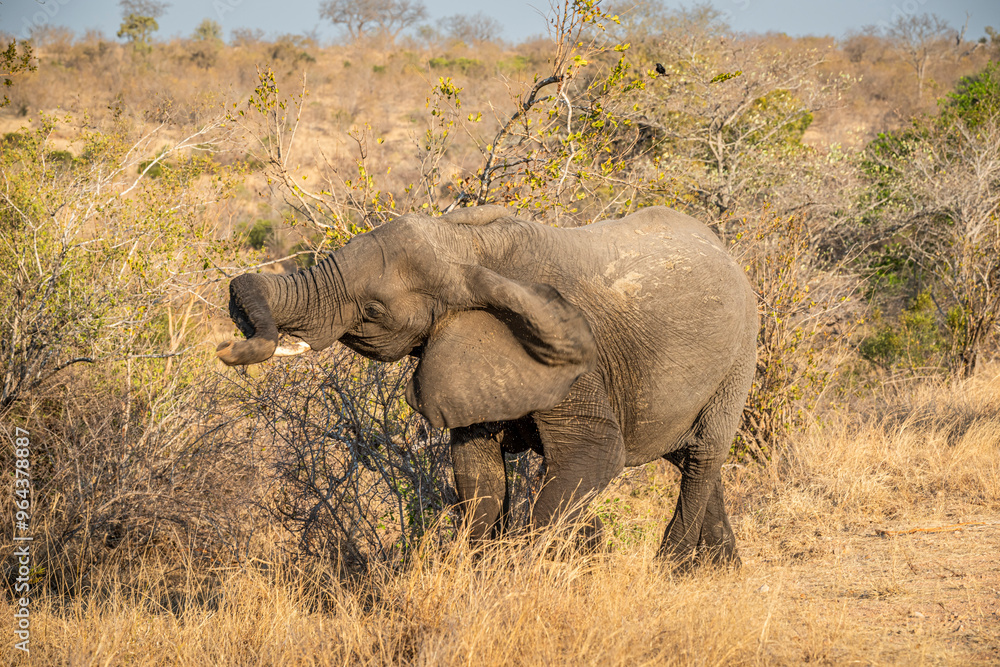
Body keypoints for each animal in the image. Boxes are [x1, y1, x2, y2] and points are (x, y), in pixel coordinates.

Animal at [216, 205, 758, 566]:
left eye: (373, 309)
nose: (226, 347)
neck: (465, 245)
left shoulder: (578, 362)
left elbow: (595, 455)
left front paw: (522, 574)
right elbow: (476, 471)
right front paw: (476, 570)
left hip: (741, 356)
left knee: (704, 454)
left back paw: (673, 570)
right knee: (688, 456)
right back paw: (719, 569)